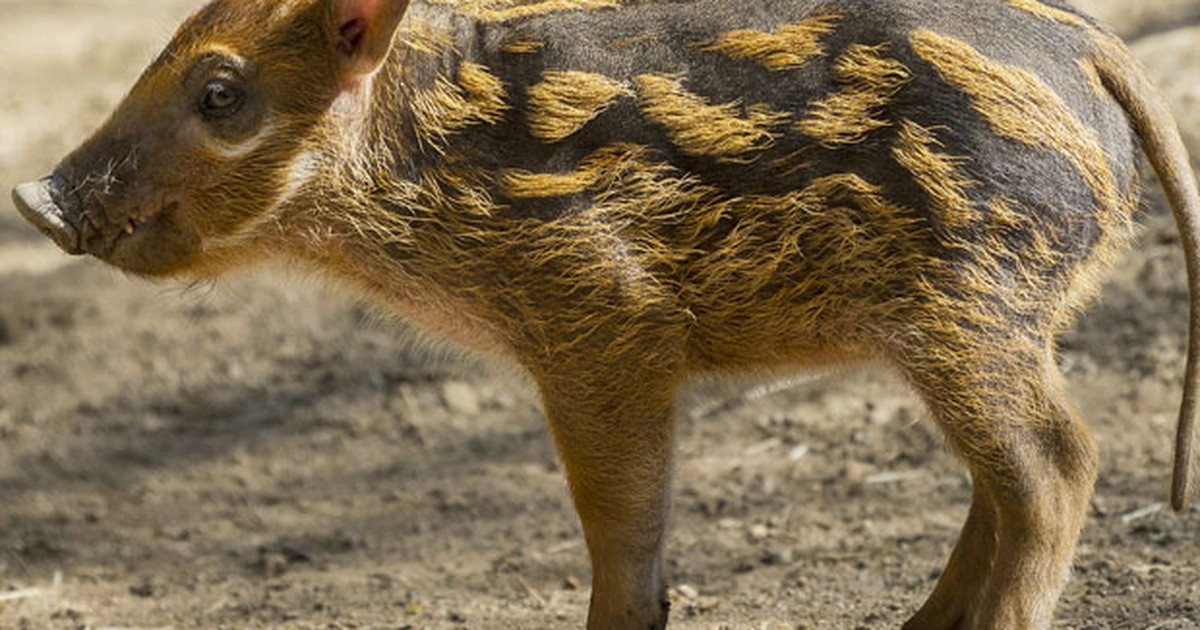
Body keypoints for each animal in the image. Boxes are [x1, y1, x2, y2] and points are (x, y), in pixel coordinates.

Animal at [11, 0, 1200, 628]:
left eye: (219, 95)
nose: (35, 196)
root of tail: (1100, 47)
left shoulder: (602, 322)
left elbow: (618, 521)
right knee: (1004, 480)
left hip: (974, 300)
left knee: (1058, 461)